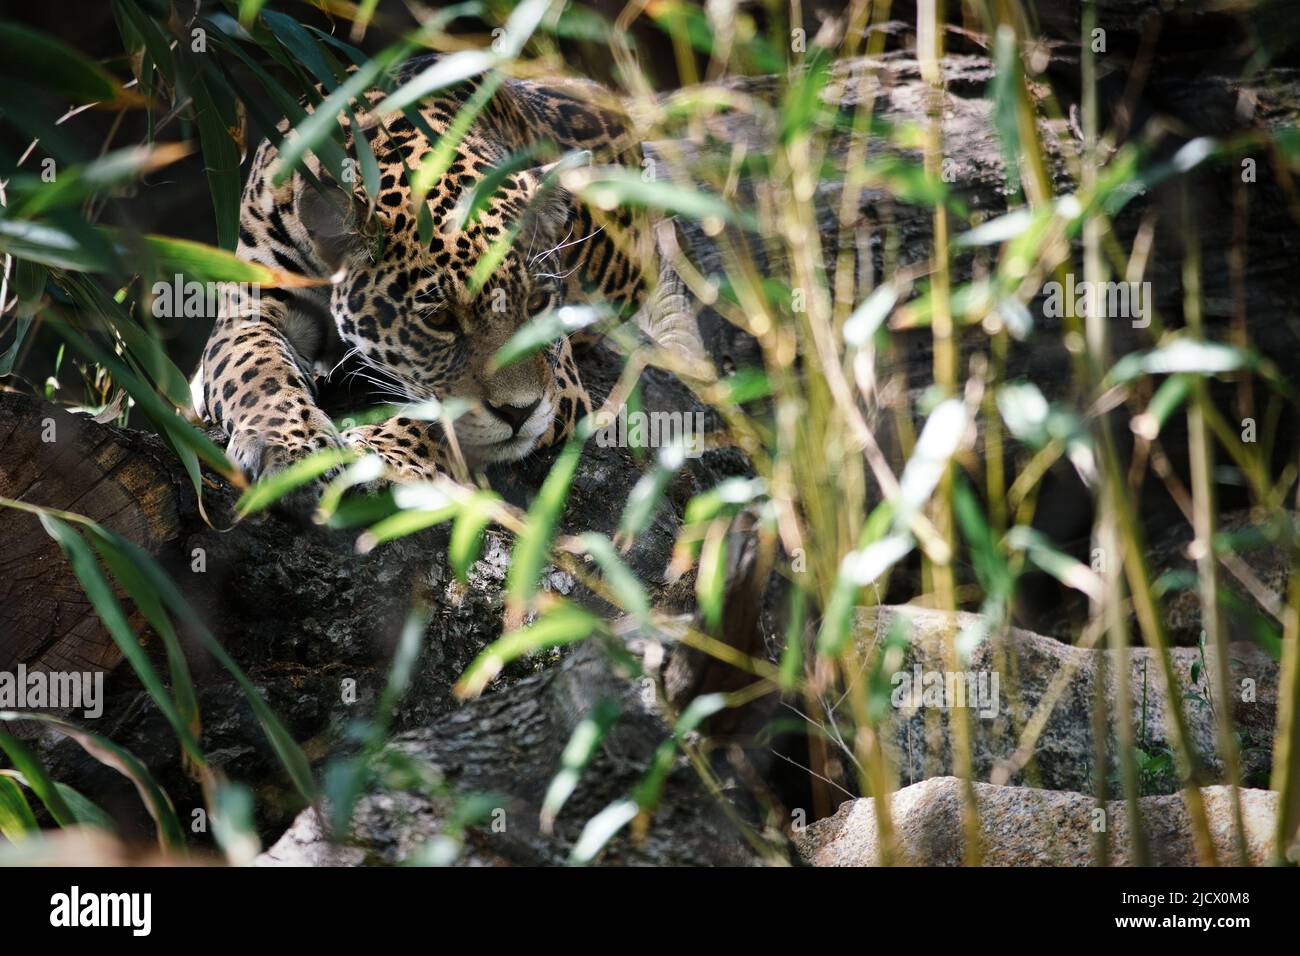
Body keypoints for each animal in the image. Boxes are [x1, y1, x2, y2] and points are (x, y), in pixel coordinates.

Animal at [191, 54, 692, 496]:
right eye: (439, 319)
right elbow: (258, 370)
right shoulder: (255, 305)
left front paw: (379, 455)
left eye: (537, 304)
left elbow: (444, 421)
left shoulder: (561, 377)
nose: (520, 412)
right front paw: (290, 447)